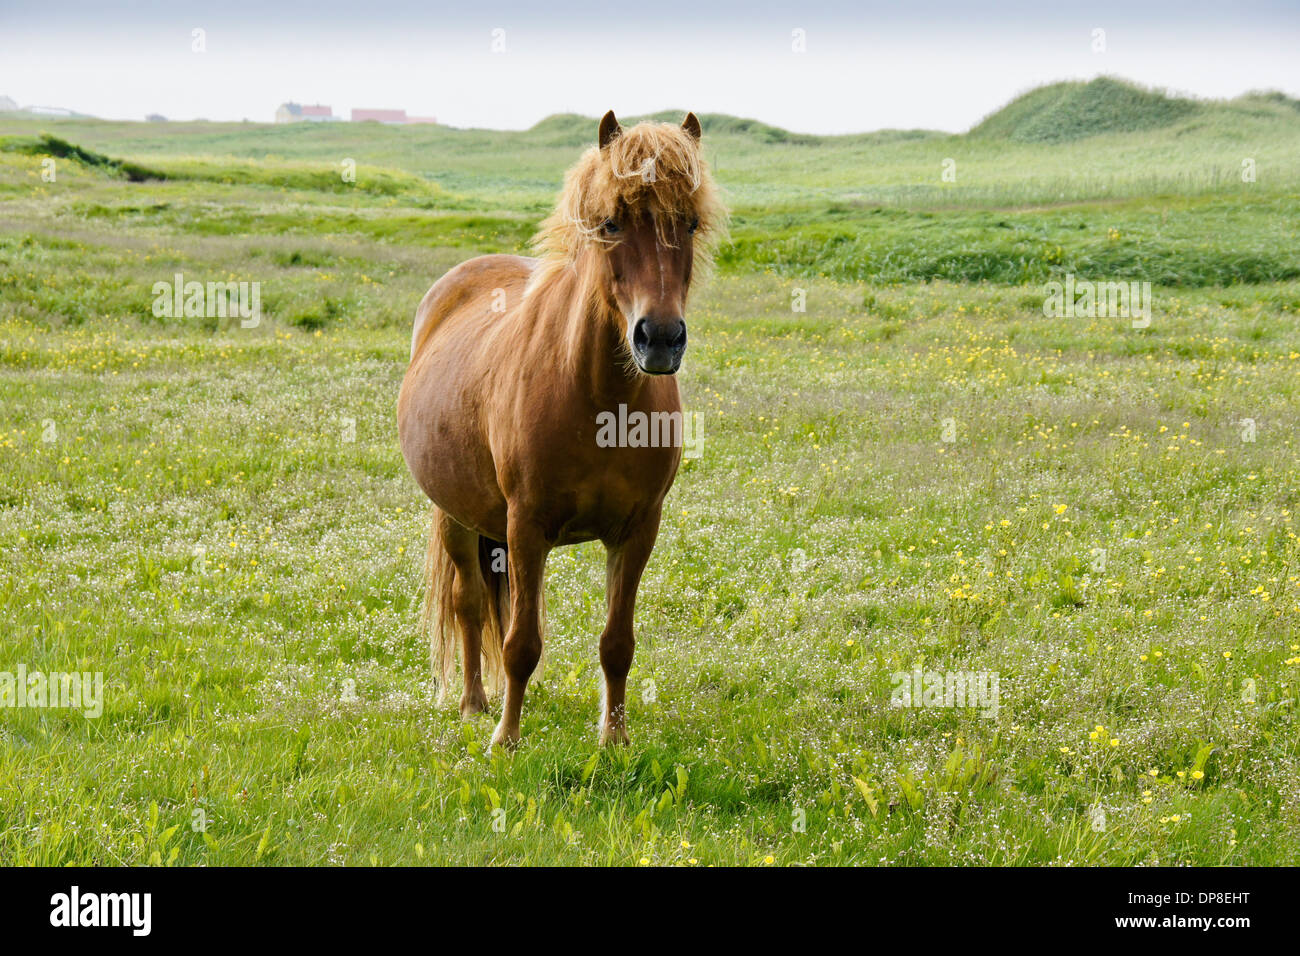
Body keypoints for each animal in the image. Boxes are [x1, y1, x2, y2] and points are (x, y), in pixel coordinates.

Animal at [397, 111, 725, 749]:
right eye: (611, 222)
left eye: (690, 222)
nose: (660, 338)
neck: (599, 403)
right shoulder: (526, 526)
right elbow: (520, 645)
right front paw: (506, 740)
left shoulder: (637, 530)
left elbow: (617, 644)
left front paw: (614, 740)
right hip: (454, 513)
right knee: (469, 604)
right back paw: (474, 704)